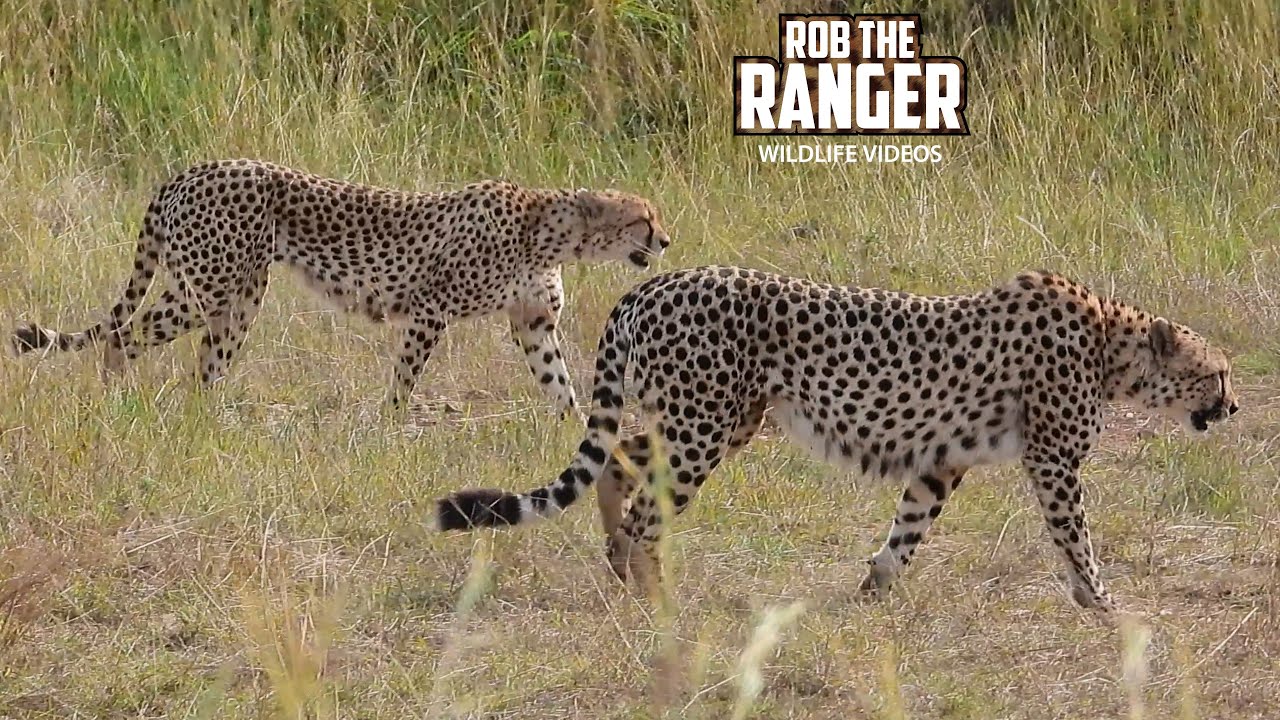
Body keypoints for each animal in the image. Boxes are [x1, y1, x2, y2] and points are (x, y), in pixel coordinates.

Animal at [9, 159, 671, 415]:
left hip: (240, 299)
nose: (666, 240)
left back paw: (209, 419)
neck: (552, 232)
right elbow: (404, 380)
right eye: (645, 217)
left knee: (204, 361)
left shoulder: (534, 323)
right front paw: (392, 426)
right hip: (208, 288)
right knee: (121, 334)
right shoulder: (429, 311)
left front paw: (580, 437)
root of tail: (194, 168)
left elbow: (561, 387)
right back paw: (113, 399)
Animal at [434, 265, 1238, 612]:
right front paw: (1102, 603)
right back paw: (656, 600)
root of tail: (653, 282)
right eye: (1217, 373)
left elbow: (908, 529)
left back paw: (616, 566)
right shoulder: (1054, 461)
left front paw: (873, 590)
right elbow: (1076, 536)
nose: (1233, 406)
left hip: (714, 422)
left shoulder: (941, 461)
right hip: (702, 428)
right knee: (644, 513)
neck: (1111, 342)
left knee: (615, 468)